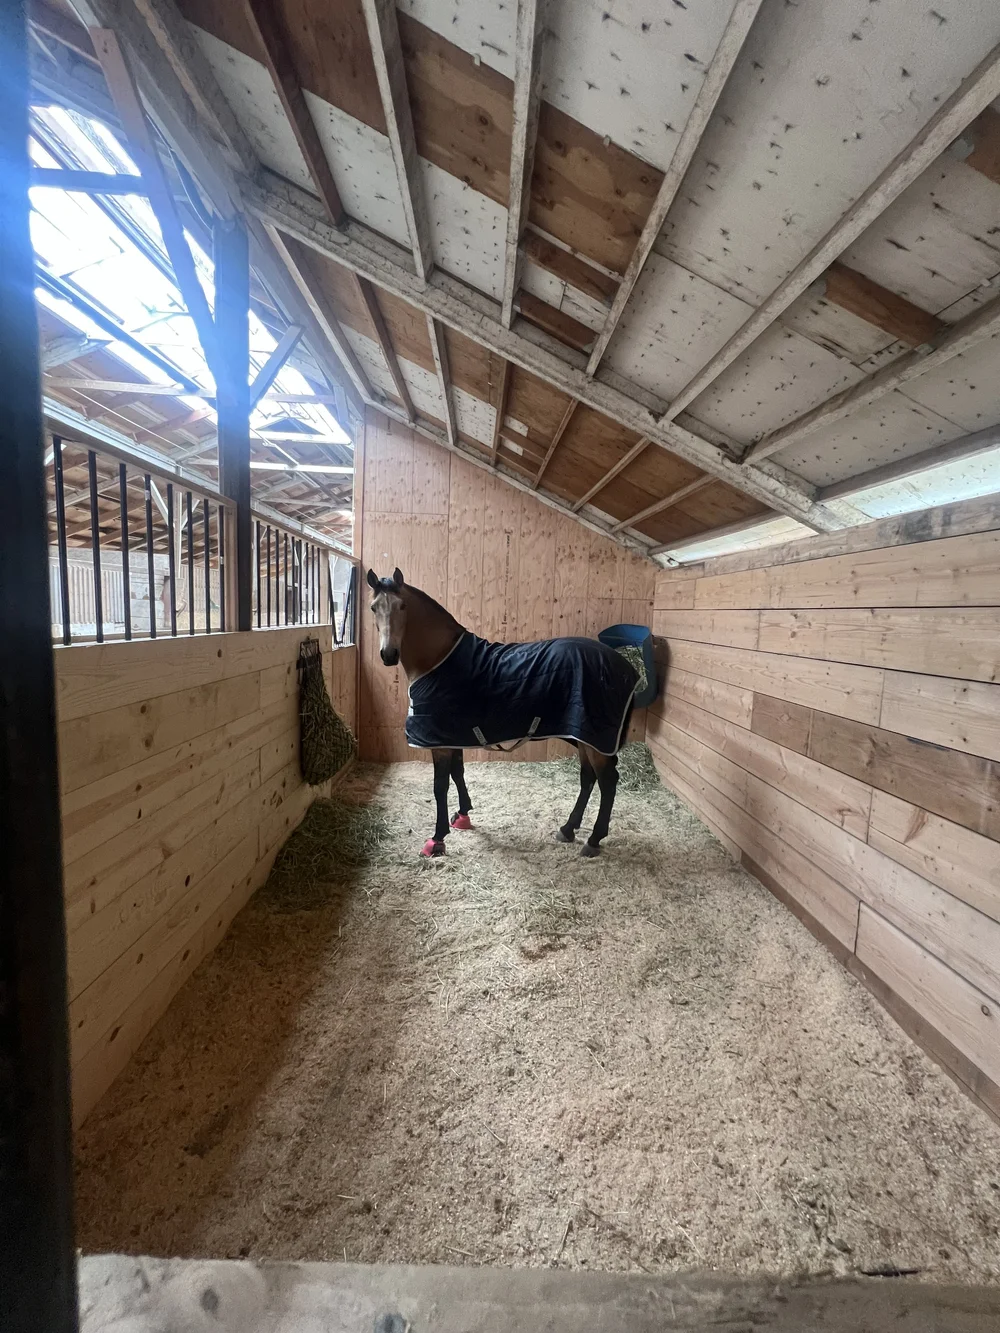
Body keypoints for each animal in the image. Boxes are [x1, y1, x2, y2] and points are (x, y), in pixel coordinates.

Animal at [367, 567, 639, 859]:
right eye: (373, 608)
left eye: (402, 606)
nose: (389, 654)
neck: (439, 659)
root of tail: (627, 668)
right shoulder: (453, 735)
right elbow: (458, 772)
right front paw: (463, 814)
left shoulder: (439, 741)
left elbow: (440, 786)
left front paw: (437, 839)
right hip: (582, 736)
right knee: (588, 777)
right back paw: (568, 829)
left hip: (595, 740)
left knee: (608, 782)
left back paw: (594, 839)